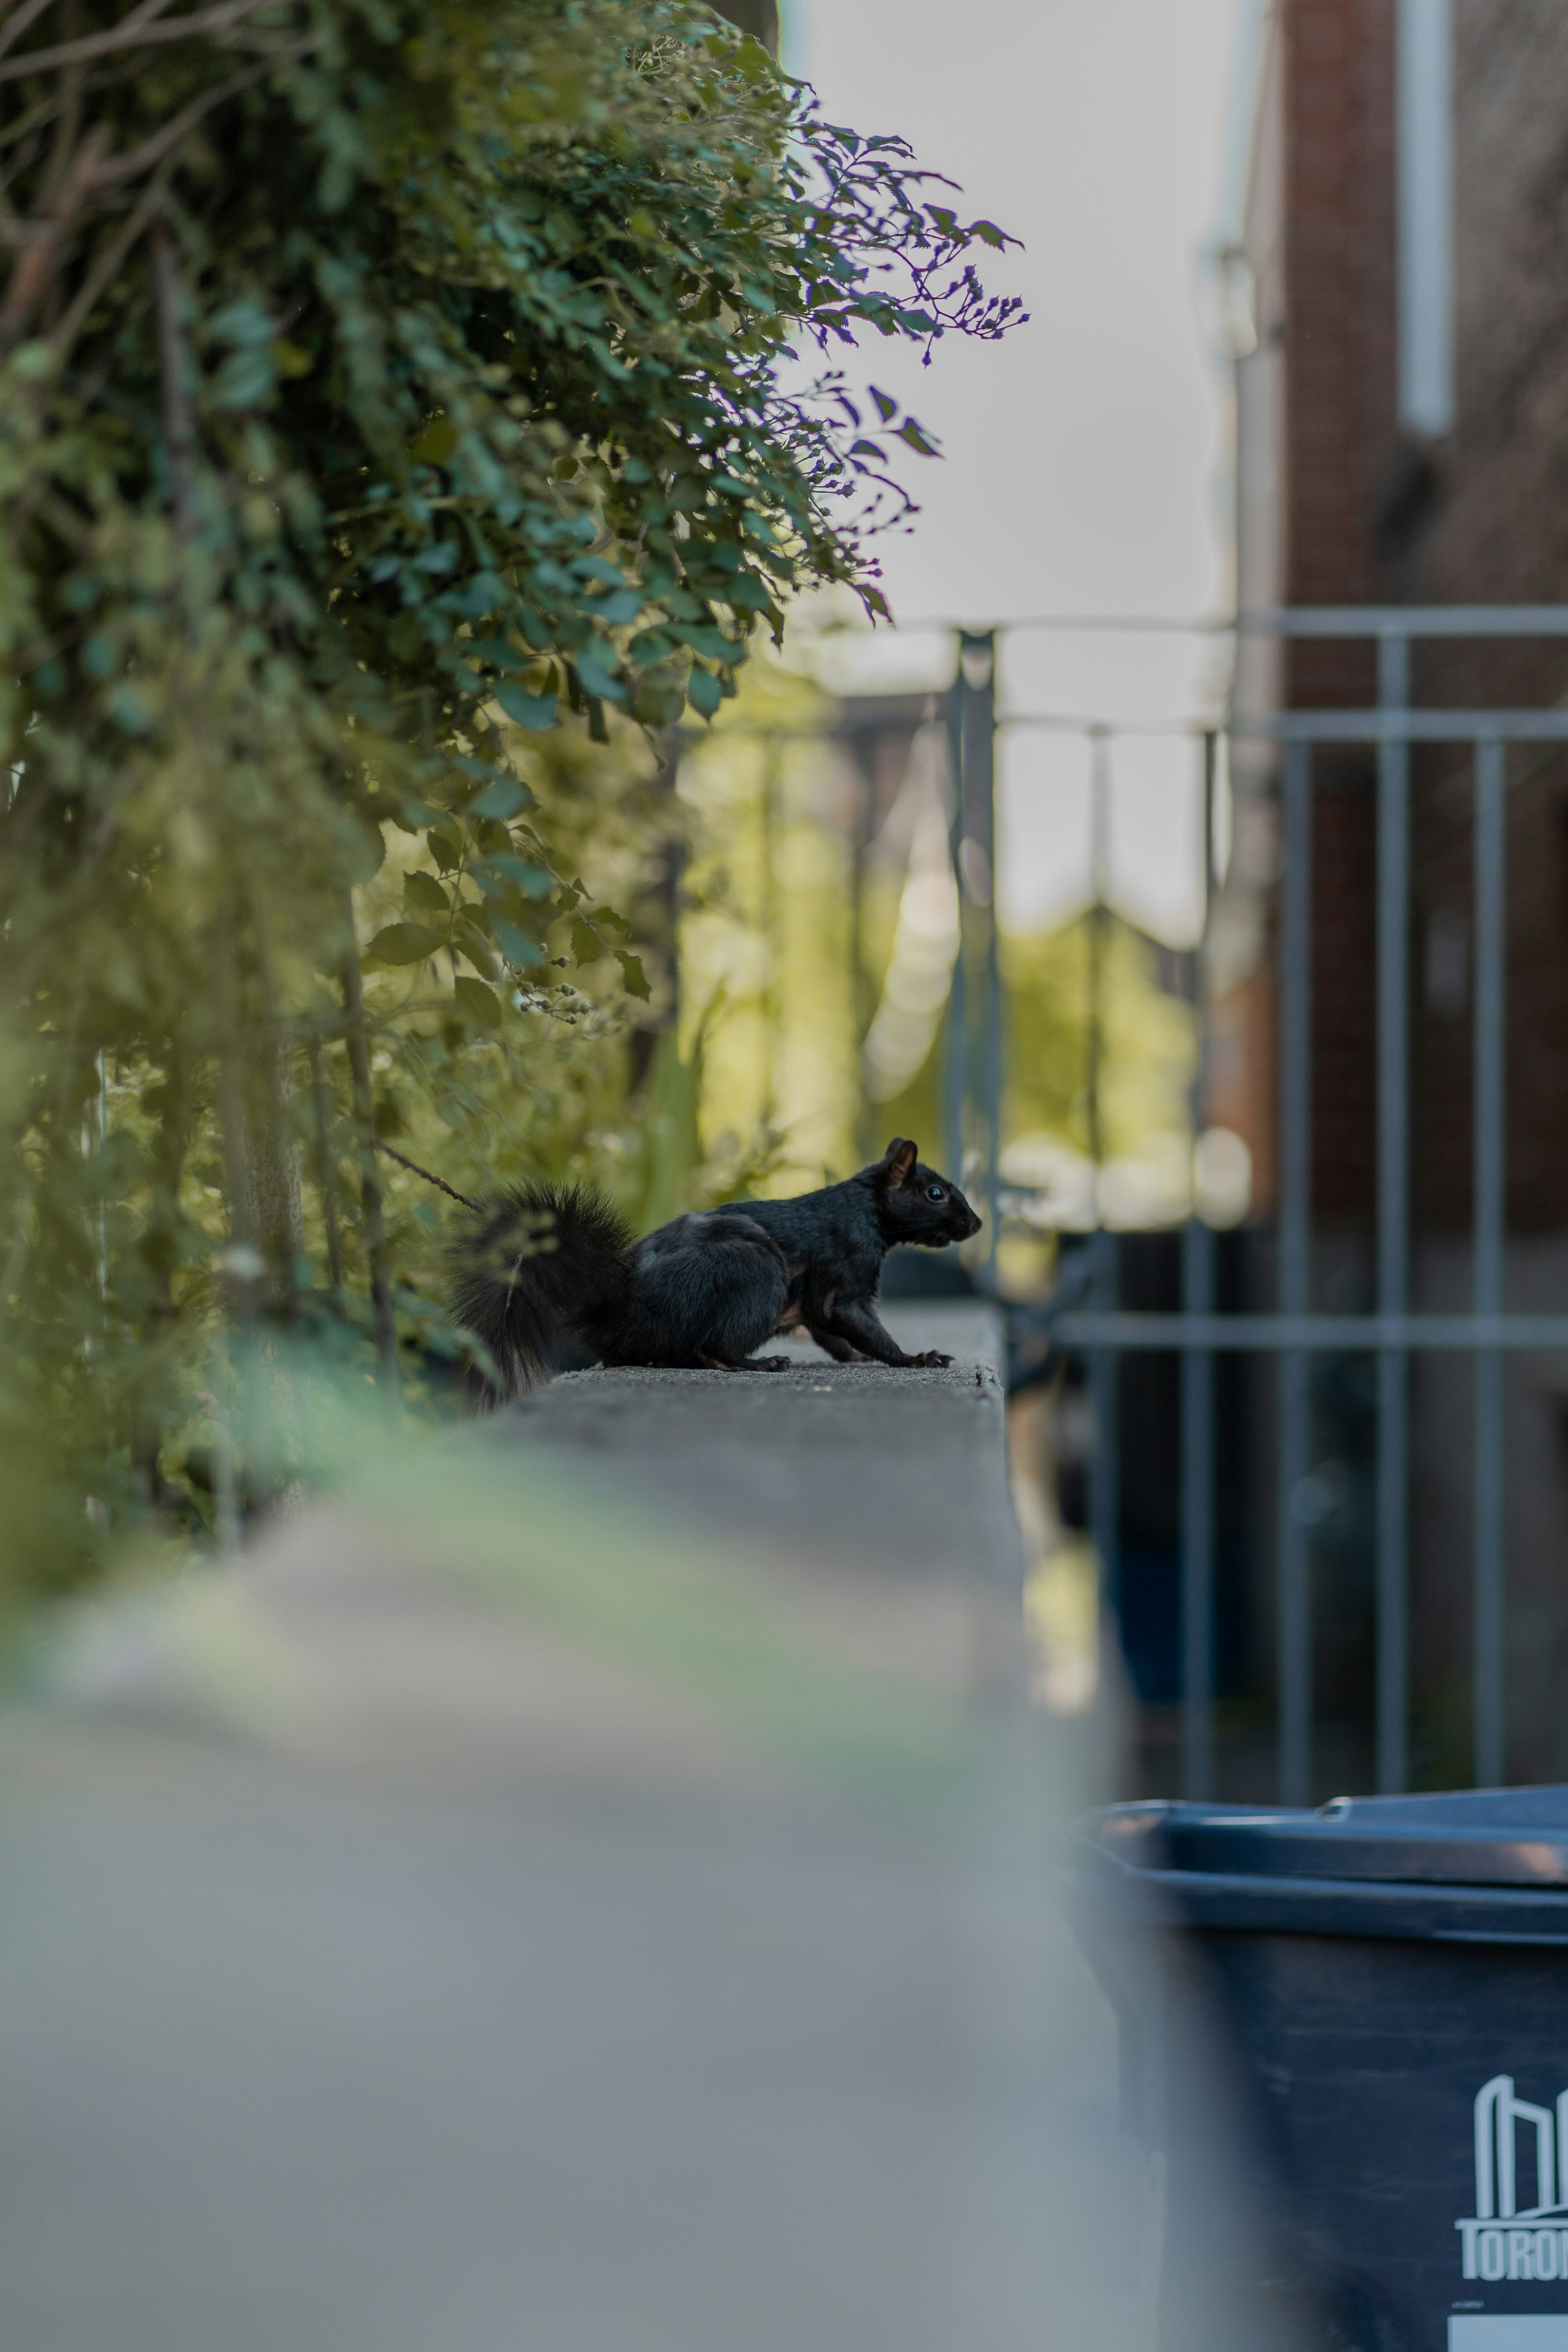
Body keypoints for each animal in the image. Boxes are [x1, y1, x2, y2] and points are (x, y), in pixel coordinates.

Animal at [448, 1136, 982, 1399]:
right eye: (935, 1192)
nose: (975, 1224)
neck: (867, 1207)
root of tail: (618, 1309)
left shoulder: (816, 1297)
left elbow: (826, 1328)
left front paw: (852, 1357)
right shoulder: (845, 1266)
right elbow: (852, 1320)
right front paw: (914, 1358)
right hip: (752, 1269)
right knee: (712, 1348)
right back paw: (760, 1363)